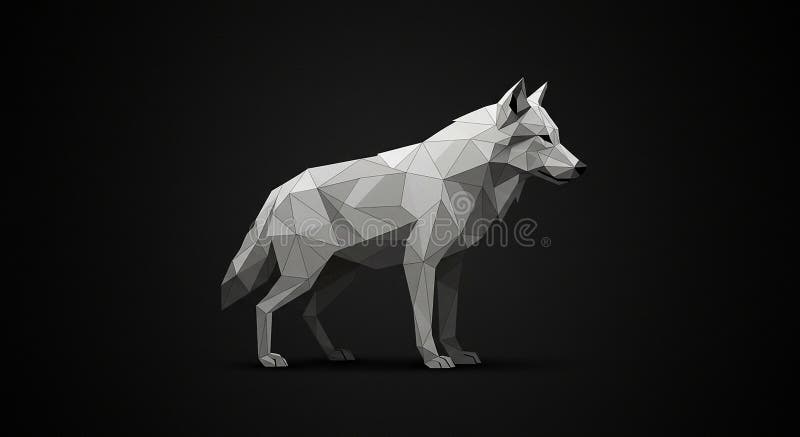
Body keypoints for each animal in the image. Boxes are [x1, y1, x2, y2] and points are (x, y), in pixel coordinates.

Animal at [221, 78, 585, 368]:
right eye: (543, 138)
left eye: (558, 136)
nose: (582, 168)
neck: (465, 173)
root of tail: (279, 189)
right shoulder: (419, 261)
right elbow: (423, 320)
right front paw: (434, 358)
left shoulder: (451, 265)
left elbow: (448, 320)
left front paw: (457, 353)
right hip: (305, 276)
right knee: (262, 306)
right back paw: (267, 358)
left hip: (337, 278)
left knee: (306, 312)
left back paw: (333, 353)